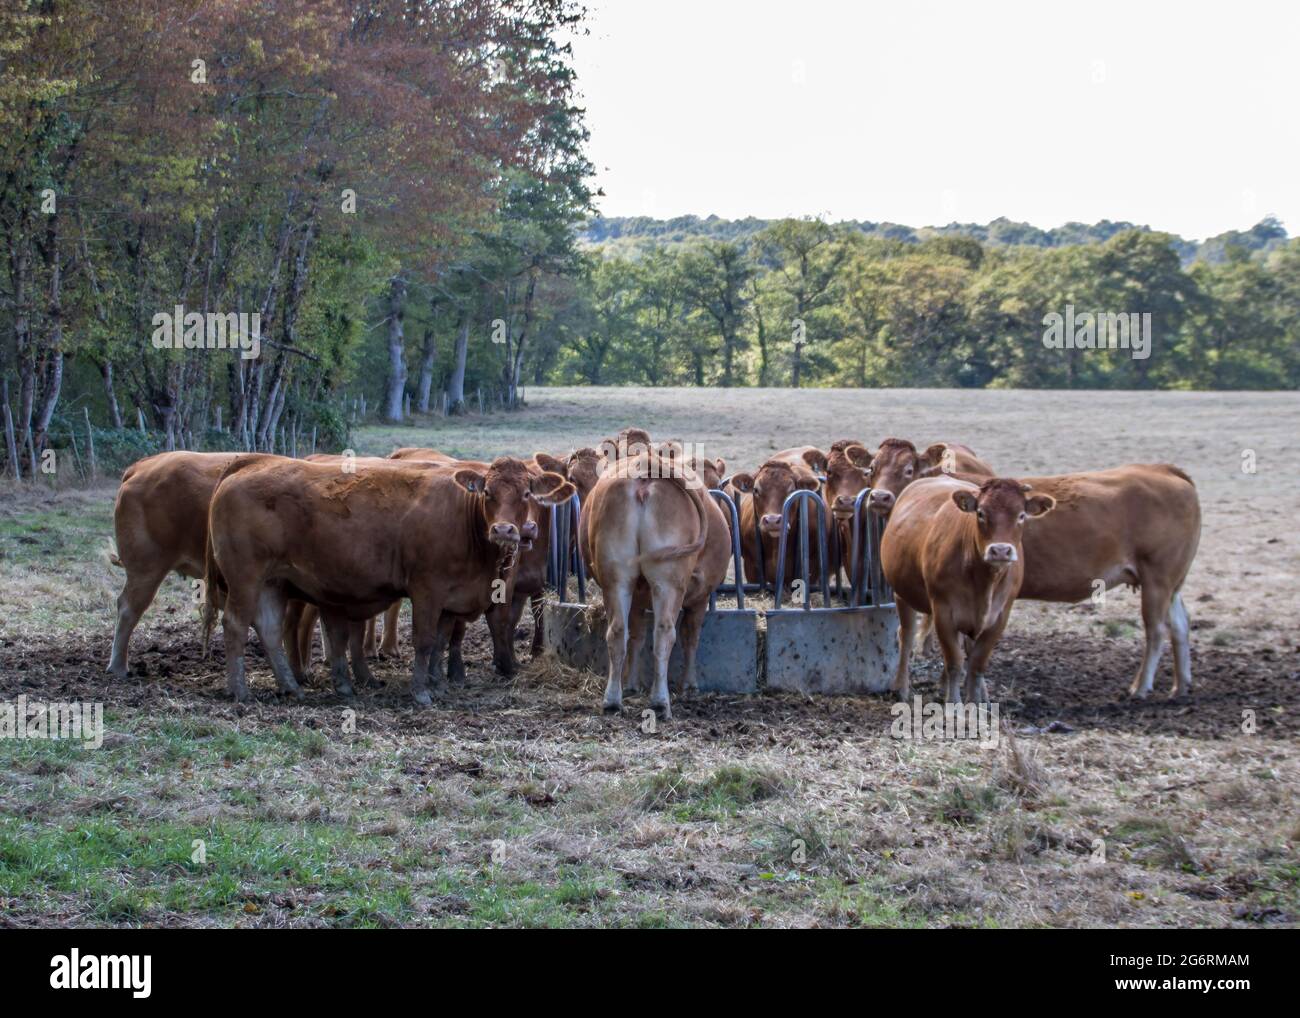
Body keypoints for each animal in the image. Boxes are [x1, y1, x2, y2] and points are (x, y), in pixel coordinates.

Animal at [204, 454, 573, 704]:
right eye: (488, 493)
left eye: (526, 494)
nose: (504, 530)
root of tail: (251, 463)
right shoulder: (427, 589)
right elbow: (424, 640)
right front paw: (421, 691)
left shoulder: (453, 597)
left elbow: (442, 641)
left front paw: (438, 683)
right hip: (246, 577)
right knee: (236, 624)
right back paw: (240, 691)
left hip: (273, 583)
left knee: (268, 630)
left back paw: (291, 687)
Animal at [579, 451, 729, 719]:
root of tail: (646, 467)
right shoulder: (700, 598)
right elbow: (691, 637)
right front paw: (690, 684)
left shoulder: (638, 599)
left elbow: (636, 637)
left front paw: (631, 683)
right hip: (669, 580)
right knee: (664, 633)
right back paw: (660, 702)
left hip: (617, 578)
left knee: (617, 632)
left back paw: (612, 700)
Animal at [883, 476, 1056, 703]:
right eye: (981, 513)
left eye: (1021, 515)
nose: (1000, 550)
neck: (985, 580)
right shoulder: (943, 610)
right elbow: (954, 661)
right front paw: (954, 703)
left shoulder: (1000, 617)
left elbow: (976, 664)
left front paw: (974, 702)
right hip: (902, 593)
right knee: (907, 636)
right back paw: (901, 687)